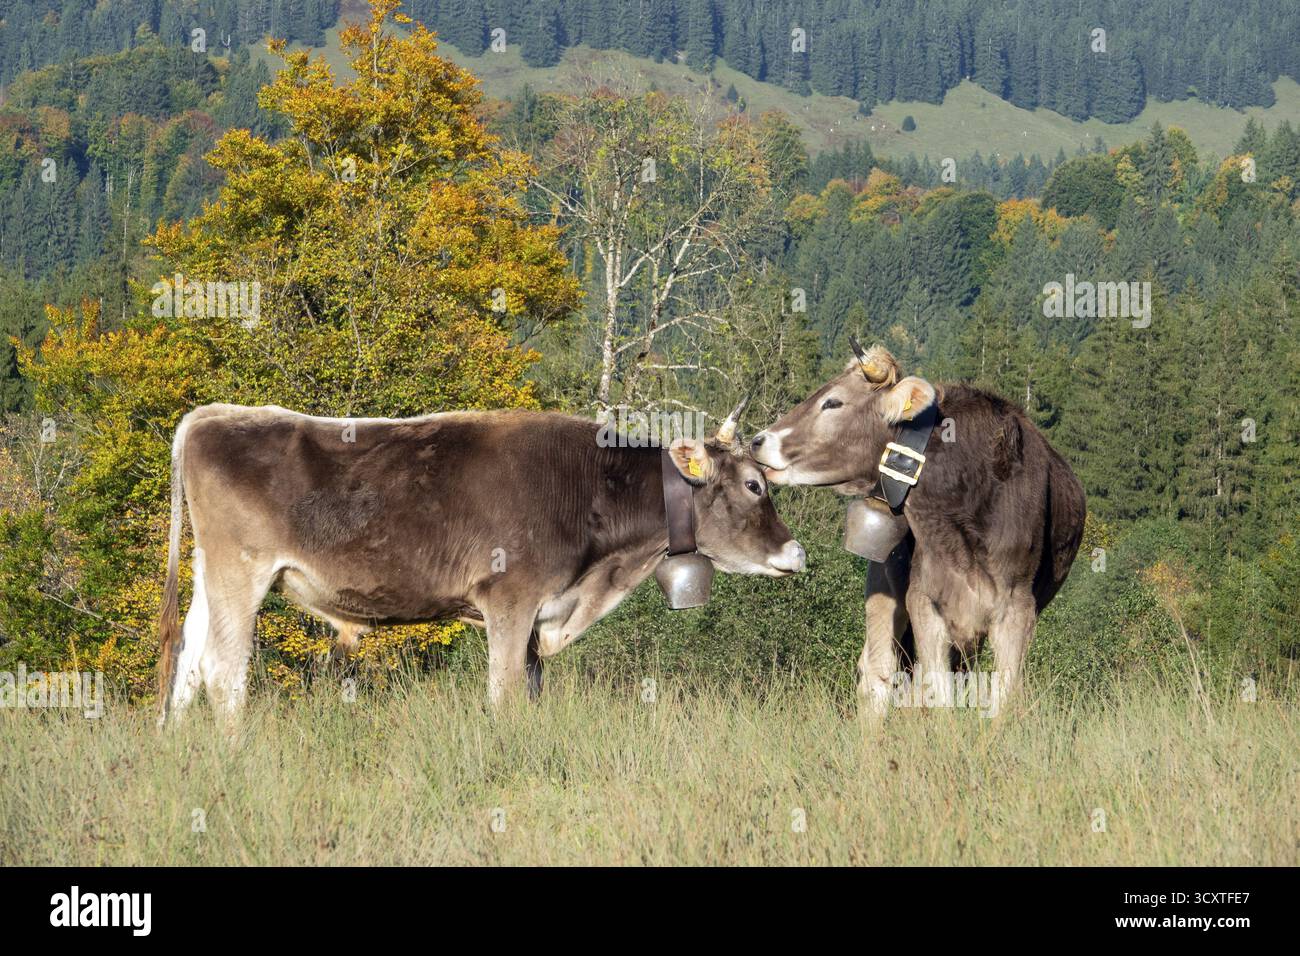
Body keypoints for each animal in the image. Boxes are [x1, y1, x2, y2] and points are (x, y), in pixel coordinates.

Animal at [157, 403, 806, 725]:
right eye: (754, 485)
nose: (796, 552)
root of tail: (212, 414)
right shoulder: (510, 599)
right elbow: (505, 690)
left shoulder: (540, 614)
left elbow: (532, 689)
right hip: (241, 570)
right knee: (223, 672)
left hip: (209, 576)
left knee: (187, 663)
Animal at [750, 343, 1085, 716]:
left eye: (833, 402)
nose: (757, 440)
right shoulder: (925, 602)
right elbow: (937, 693)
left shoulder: (1017, 609)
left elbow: (1003, 697)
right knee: (877, 671)